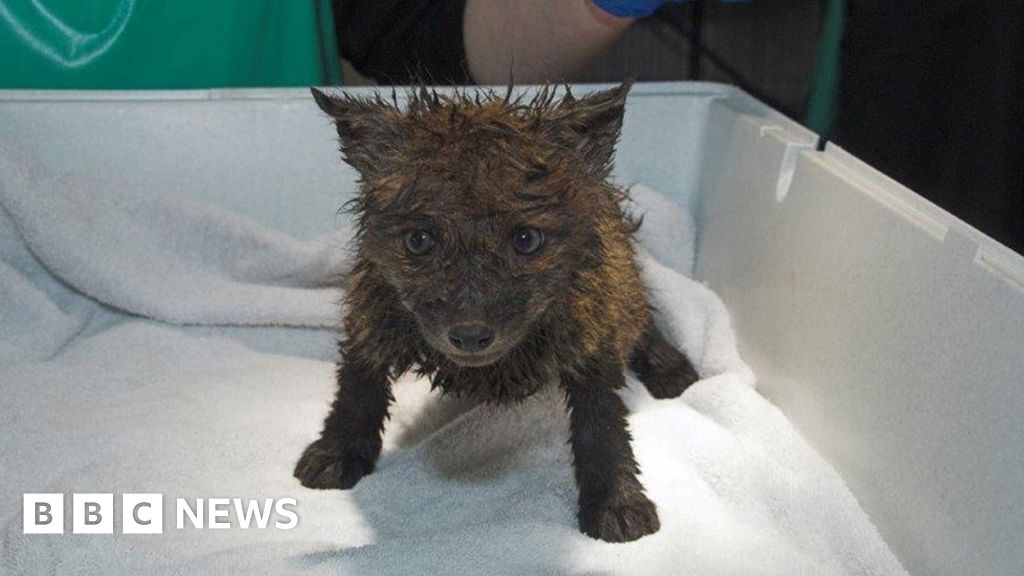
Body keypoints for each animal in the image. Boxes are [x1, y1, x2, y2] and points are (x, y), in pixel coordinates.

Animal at [295, 81, 699, 542]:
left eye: (526, 239)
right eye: (419, 240)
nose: (470, 334)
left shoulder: (590, 321)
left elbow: (601, 420)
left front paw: (616, 501)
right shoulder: (374, 305)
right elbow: (358, 383)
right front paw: (337, 451)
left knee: (640, 313)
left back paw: (670, 366)